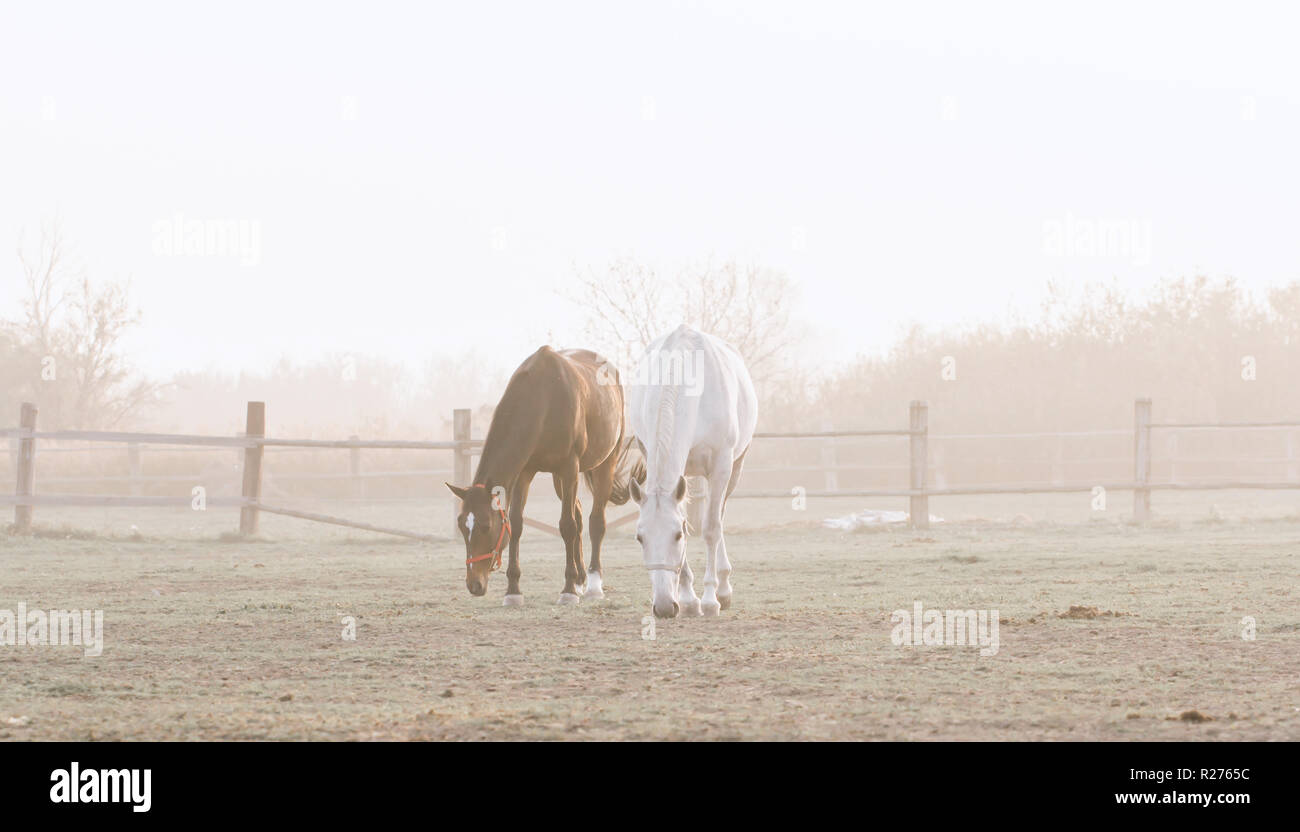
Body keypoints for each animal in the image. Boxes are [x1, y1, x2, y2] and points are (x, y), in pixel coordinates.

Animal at [445, 346, 641, 606]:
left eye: (486, 526)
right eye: (461, 525)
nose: (474, 584)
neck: (544, 397)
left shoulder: (569, 467)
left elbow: (567, 525)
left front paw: (568, 590)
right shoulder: (524, 472)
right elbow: (517, 524)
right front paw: (513, 591)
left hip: (602, 466)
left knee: (595, 522)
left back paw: (592, 584)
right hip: (561, 480)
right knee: (580, 516)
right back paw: (581, 579)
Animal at [626, 325, 758, 618]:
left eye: (677, 535)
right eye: (640, 538)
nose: (664, 606)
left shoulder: (721, 466)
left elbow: (711, 529)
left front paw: (709, 600)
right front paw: (687, 599)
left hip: (734, 468)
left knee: (719, 517)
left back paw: (723, 588)